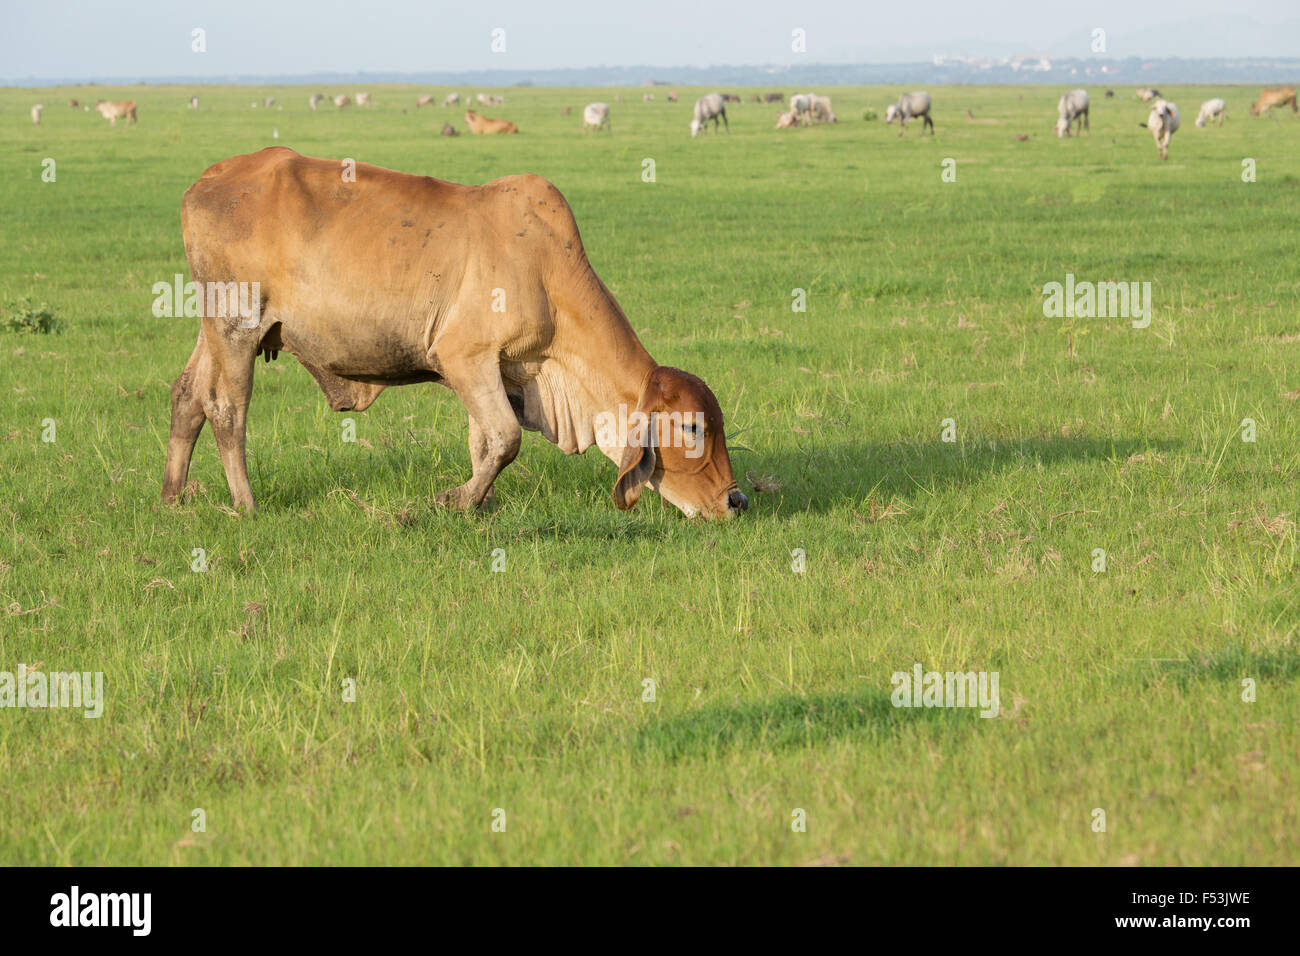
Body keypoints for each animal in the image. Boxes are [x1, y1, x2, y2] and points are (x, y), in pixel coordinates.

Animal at [163, 147, 748, 520]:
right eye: (692, 428)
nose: (736, 501)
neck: (546, 271)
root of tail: (206, 180)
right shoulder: (465, 355)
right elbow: (506, 438)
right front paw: (456, 501)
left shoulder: (493, 369)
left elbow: (483, 441)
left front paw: (478, 504)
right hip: (237, 326)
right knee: (226, 408)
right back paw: (245, 504)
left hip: (213, 327)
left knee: (188, 396)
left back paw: (173, 496)